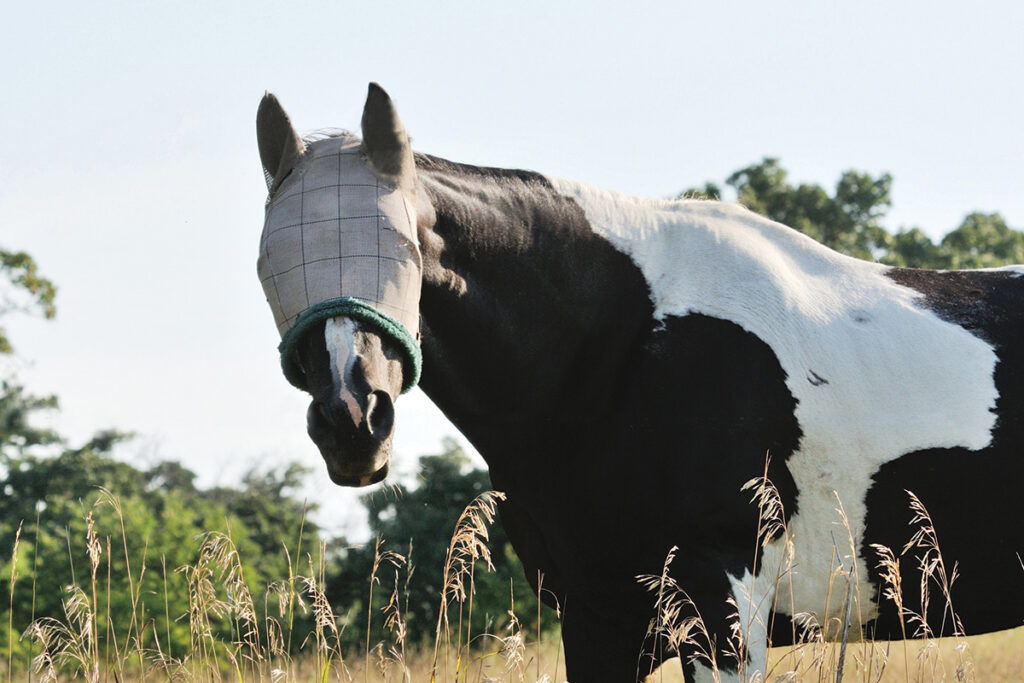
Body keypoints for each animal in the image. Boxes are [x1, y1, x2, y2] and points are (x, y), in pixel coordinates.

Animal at [254, 83, 1024, 681]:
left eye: (407, 248)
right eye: (268, 261)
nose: (352, 422)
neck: (618, 350)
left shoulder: (721, 606)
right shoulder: (600, 620)